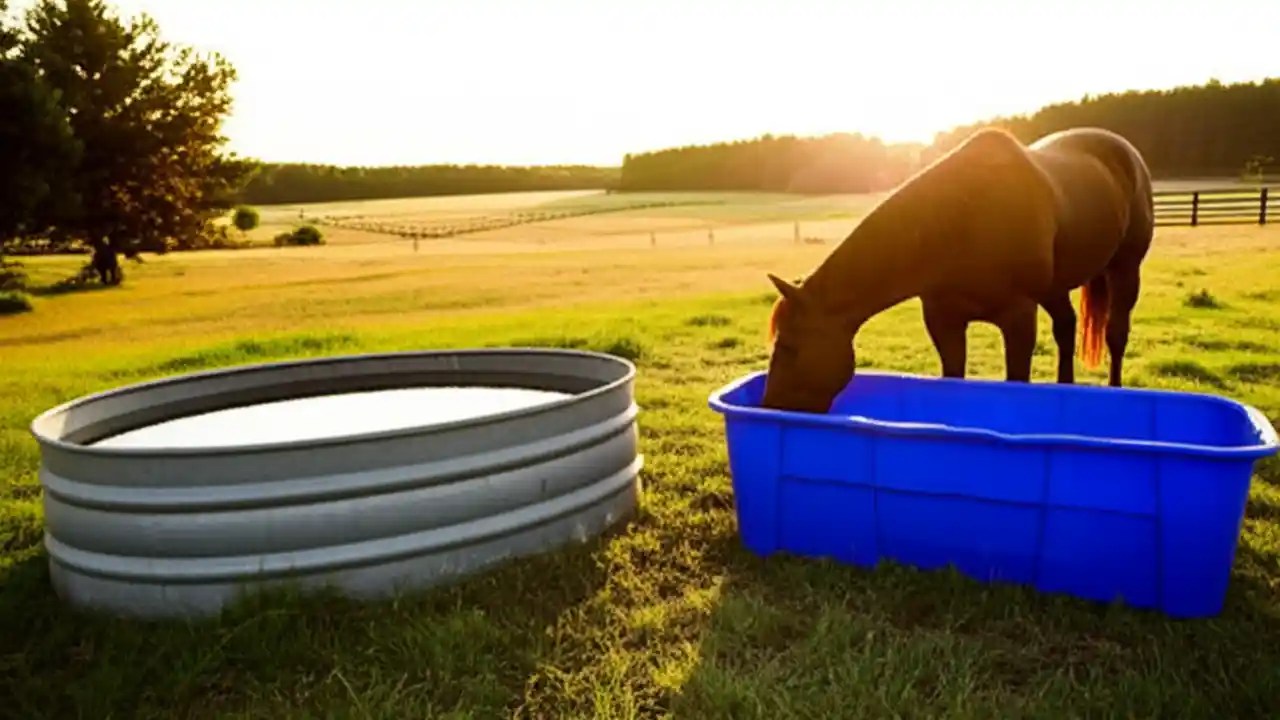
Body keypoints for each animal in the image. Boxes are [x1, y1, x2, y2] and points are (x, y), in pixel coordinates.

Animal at [761, 126, 1154, 414]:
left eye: (790, 346)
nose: (771, 407)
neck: (961, 220)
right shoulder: (943, 320)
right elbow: (954, 376)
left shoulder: (1019, 318)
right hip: (1055, 287)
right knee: (1066, 327)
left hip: (1125, 270)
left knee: (1116, 334)